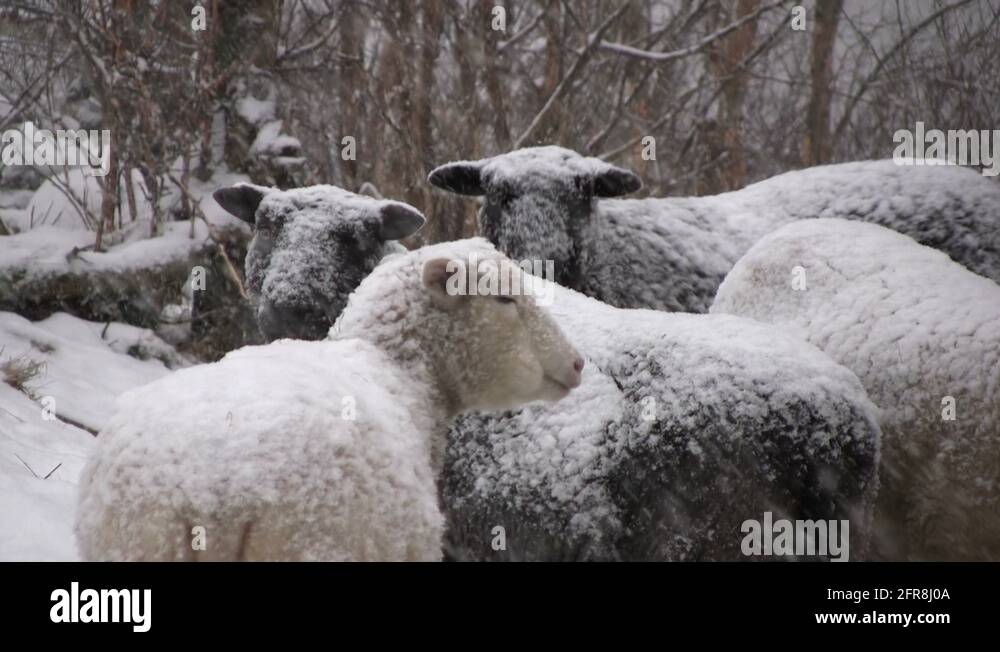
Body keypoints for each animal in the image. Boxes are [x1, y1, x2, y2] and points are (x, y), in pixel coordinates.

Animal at [75, 241, 584, 561]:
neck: (401, 371)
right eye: (503, 299)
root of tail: (206, 496)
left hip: (133, 542)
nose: (578, 363)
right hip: (313, 543)